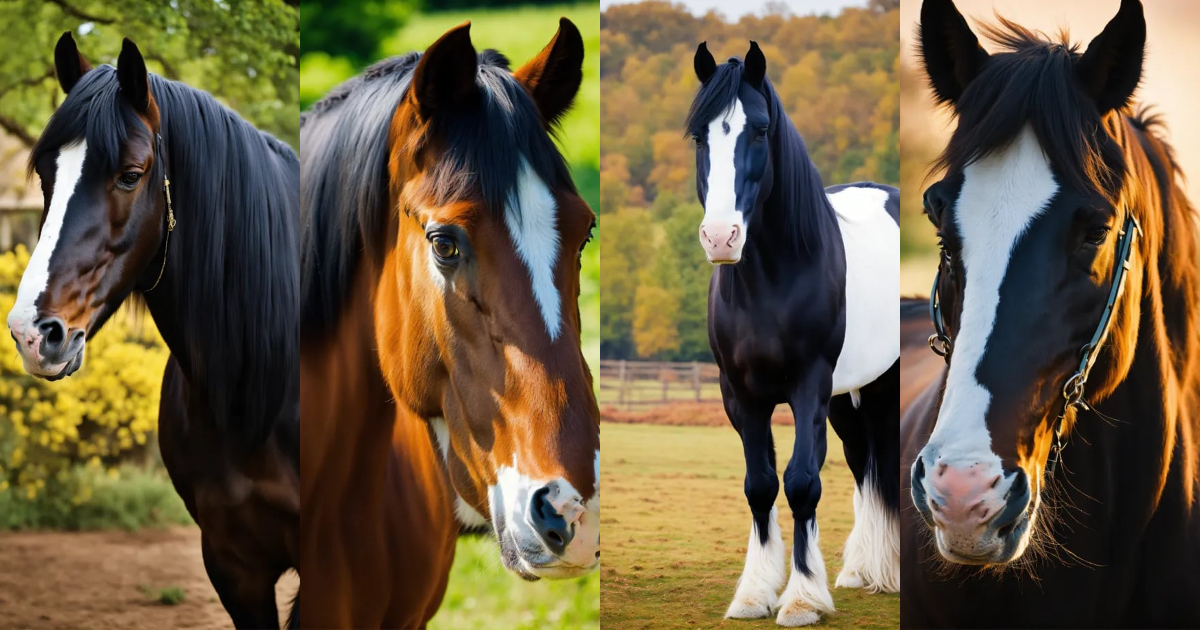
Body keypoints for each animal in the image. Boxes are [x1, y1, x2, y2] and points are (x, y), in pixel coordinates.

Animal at [688, 42, 901, 626]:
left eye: (760, 131)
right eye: (699, 136)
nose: (721, 237)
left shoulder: (810, 386)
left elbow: (802, 481)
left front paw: (803, 597)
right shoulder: (740, 394)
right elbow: (759, 485)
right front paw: (754, 593)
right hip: (850, 396)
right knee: (863, 464)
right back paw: (861, 570)